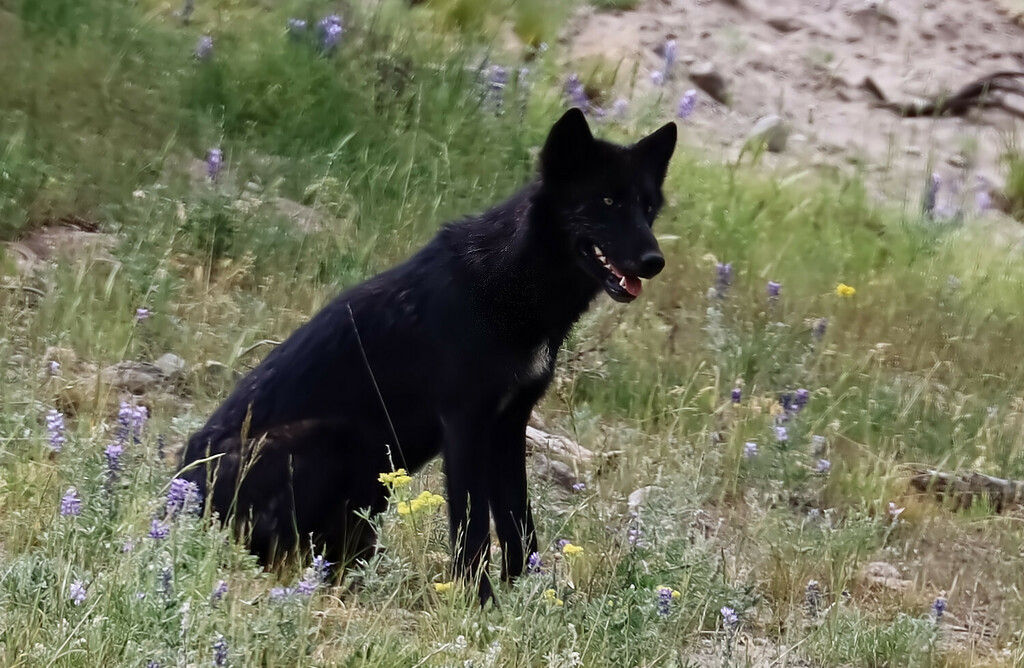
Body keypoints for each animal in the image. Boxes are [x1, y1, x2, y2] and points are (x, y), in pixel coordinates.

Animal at [177, 107, 677, 604]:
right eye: (607, 201)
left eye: (647, 207)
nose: (655, 262)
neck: (510, 282)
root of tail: (178, 494)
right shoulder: (465, 424)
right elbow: (474, 530)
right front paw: (480, 603)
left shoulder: (509, 424)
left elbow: (519, 523)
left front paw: (530, 597)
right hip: (336, 440)